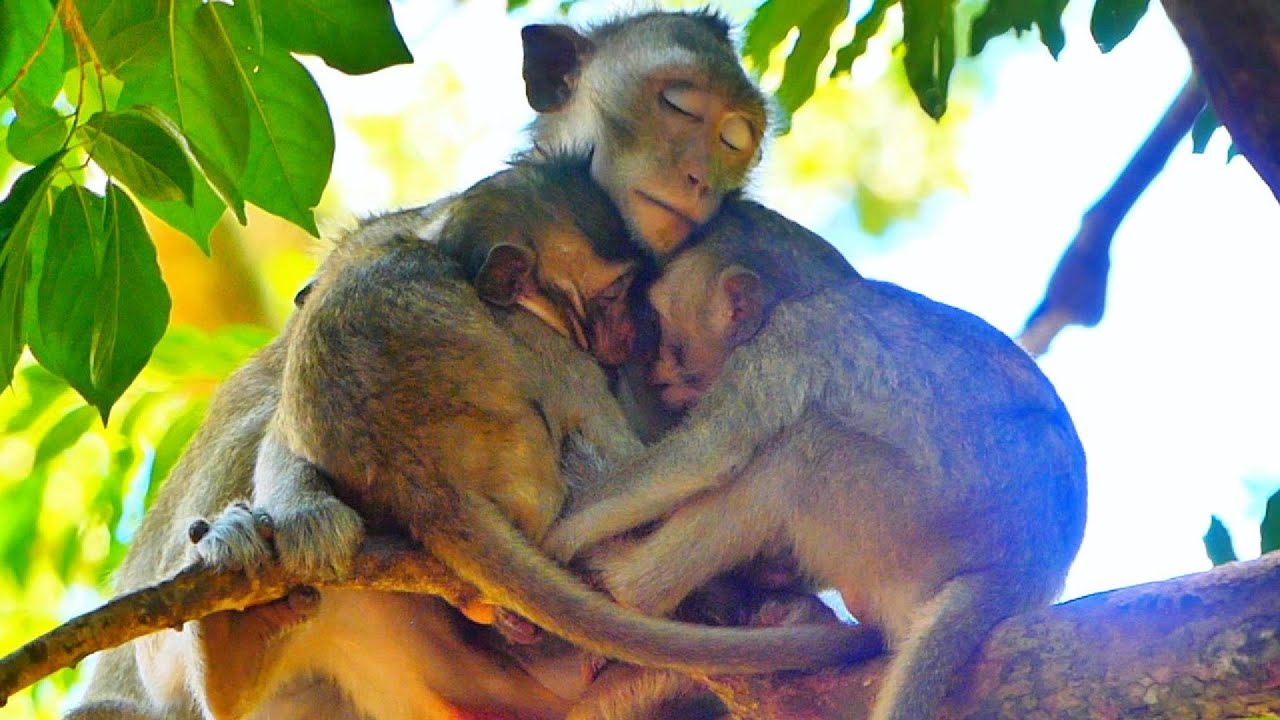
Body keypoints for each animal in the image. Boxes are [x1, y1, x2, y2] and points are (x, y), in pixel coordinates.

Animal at [543, 199, 1090, 720]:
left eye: (666, 333)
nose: (655, 370)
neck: (812, 291)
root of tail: (1025, 573)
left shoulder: (784, 344)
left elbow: (707, 454)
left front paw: (565, 529)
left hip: (906, 528)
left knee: (803, 453)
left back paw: (629, 581)